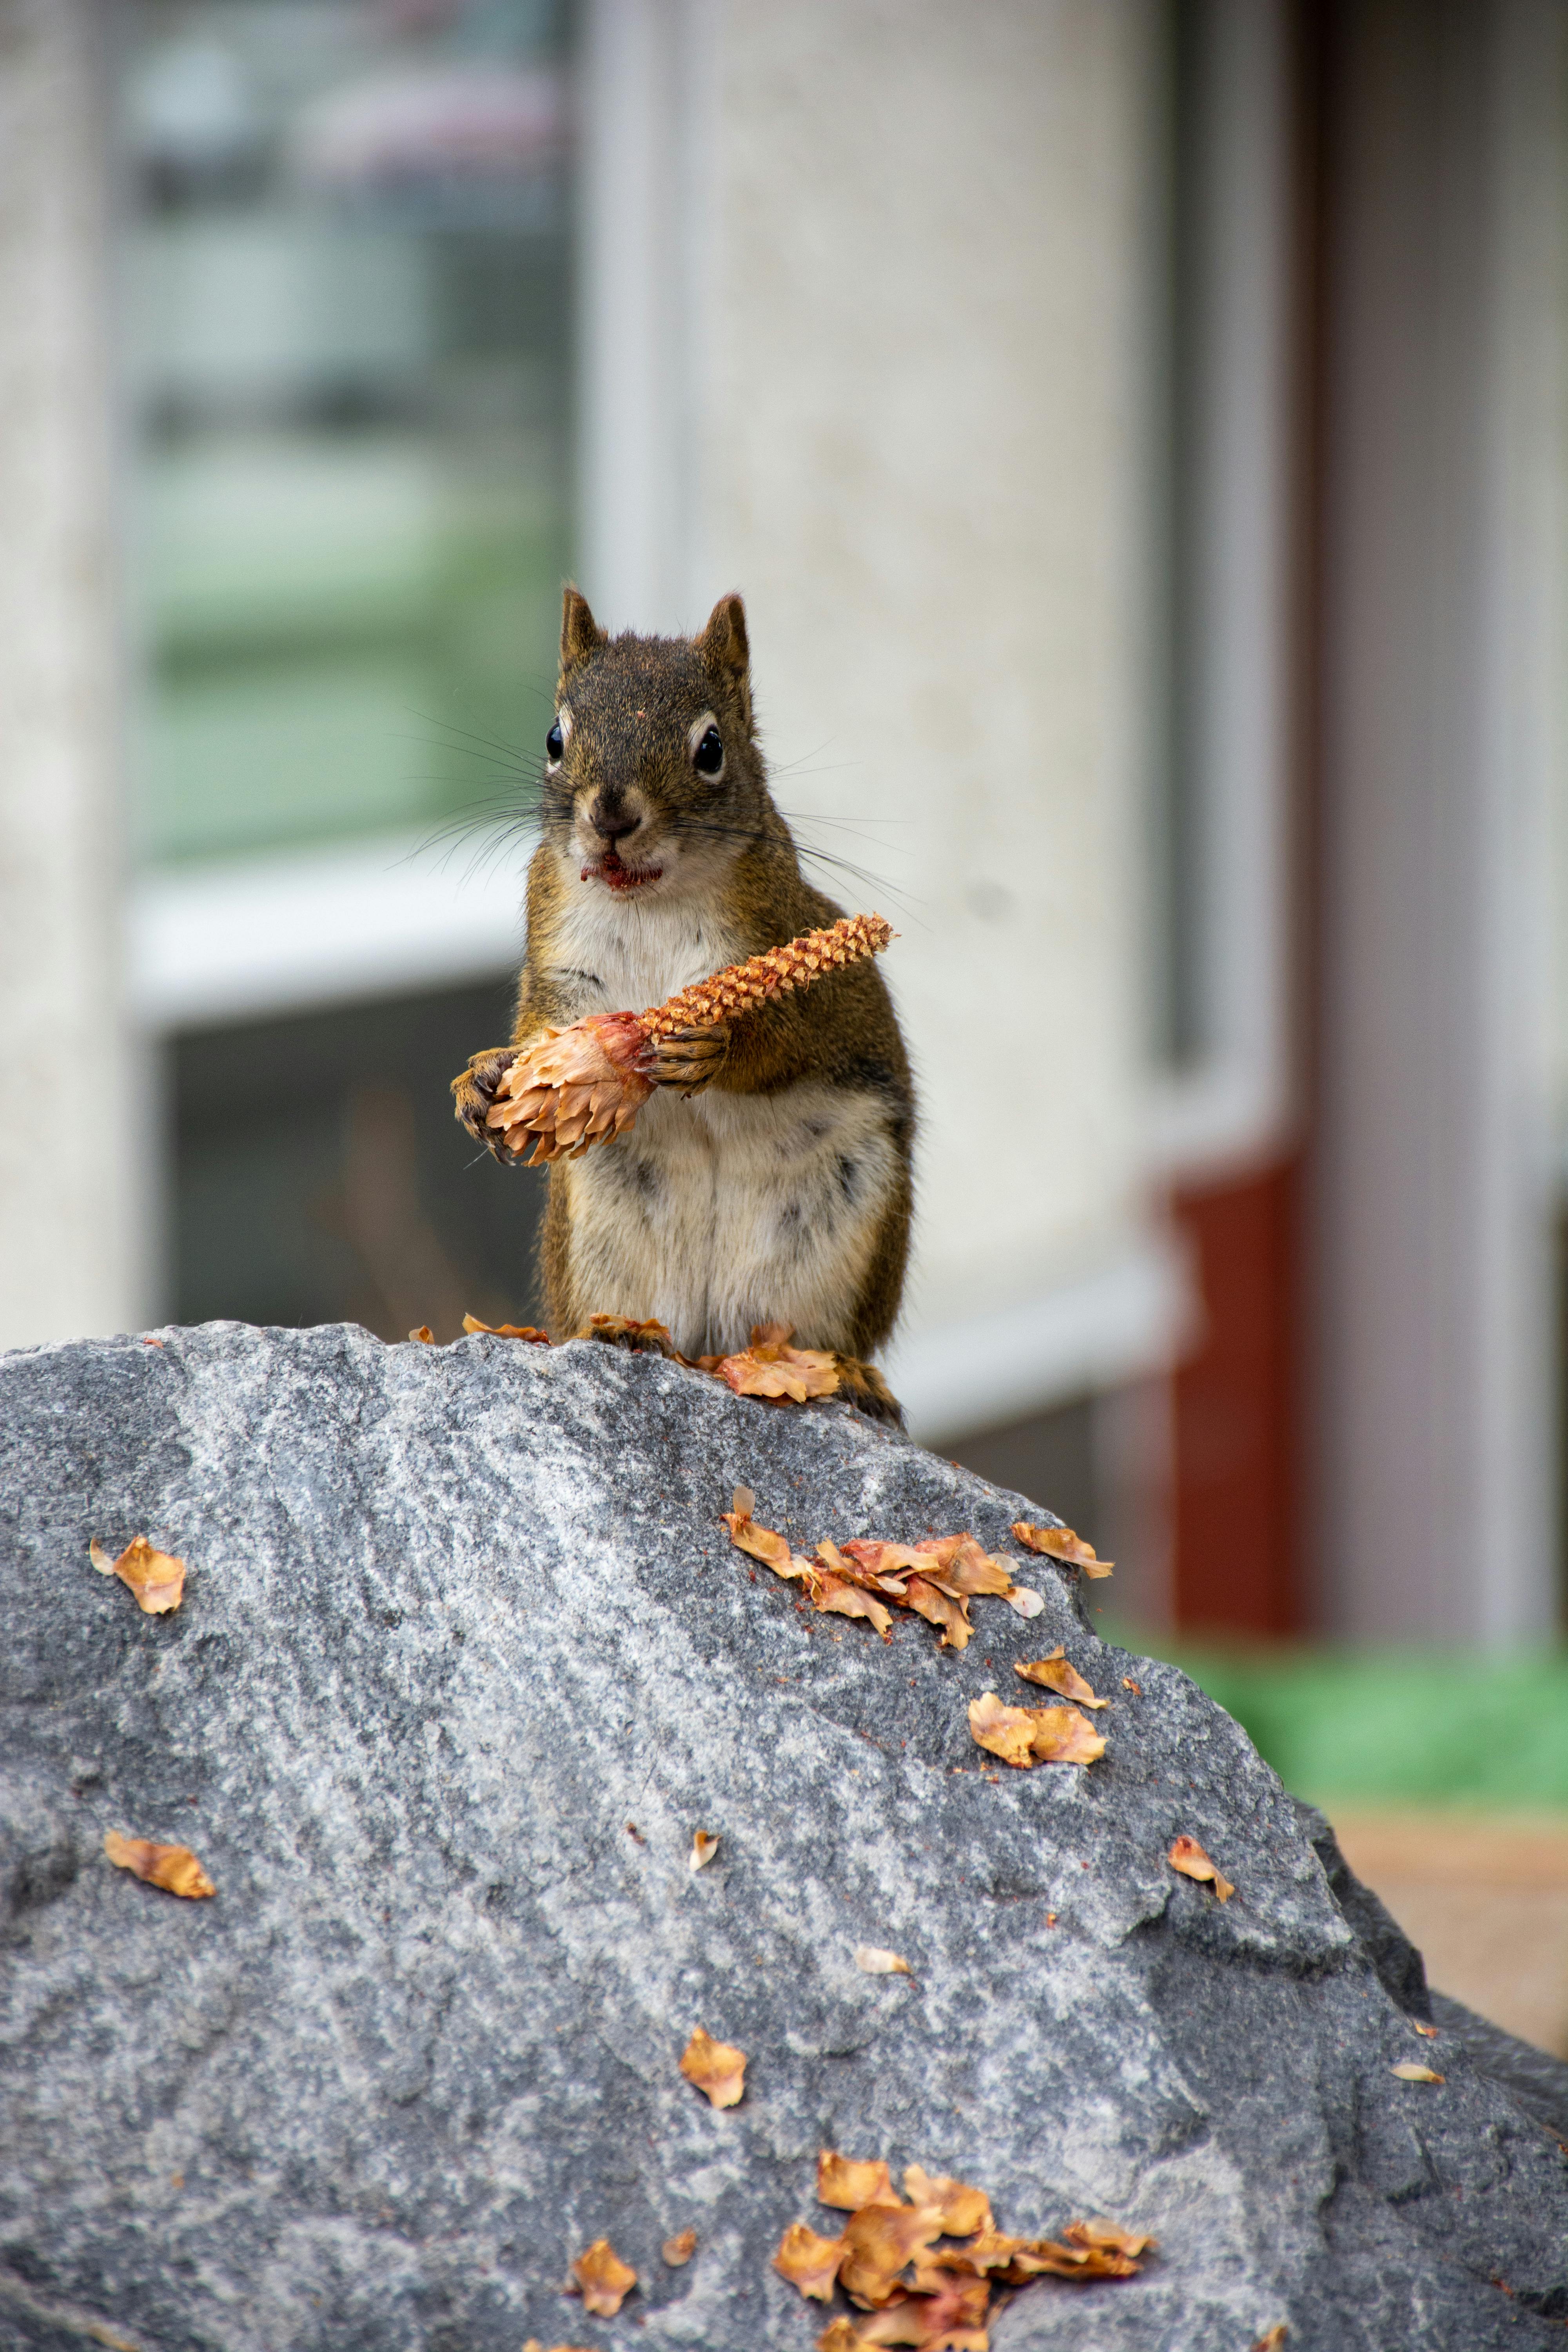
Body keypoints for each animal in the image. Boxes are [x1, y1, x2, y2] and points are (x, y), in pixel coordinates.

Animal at [451, 588, 914, 1422]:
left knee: (825, 1340)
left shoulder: (781, 945)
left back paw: (844, 1374)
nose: (610, 816)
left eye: (711, 749)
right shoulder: (560, 965)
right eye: (555, 737)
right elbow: (539, 1035)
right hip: (601, 1235)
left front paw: (714, 1047)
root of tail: (712, 1344)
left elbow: (788, 1038)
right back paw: (622, 1333)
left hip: (846, 1229)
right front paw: (484, 1076)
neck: (649, 902)